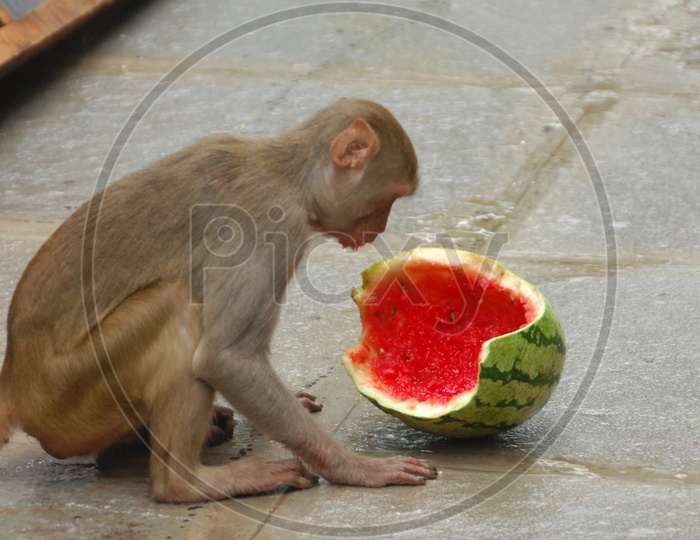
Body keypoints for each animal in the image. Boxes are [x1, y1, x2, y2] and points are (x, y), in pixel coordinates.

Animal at [0, 98, 437, 503]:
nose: (379, 228)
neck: (292, 177)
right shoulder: (271, 224)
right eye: (389, 199)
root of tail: (15, 382)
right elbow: (224, 358)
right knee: (177, 308)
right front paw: (353, 468)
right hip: (69, 397)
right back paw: (186, 483)